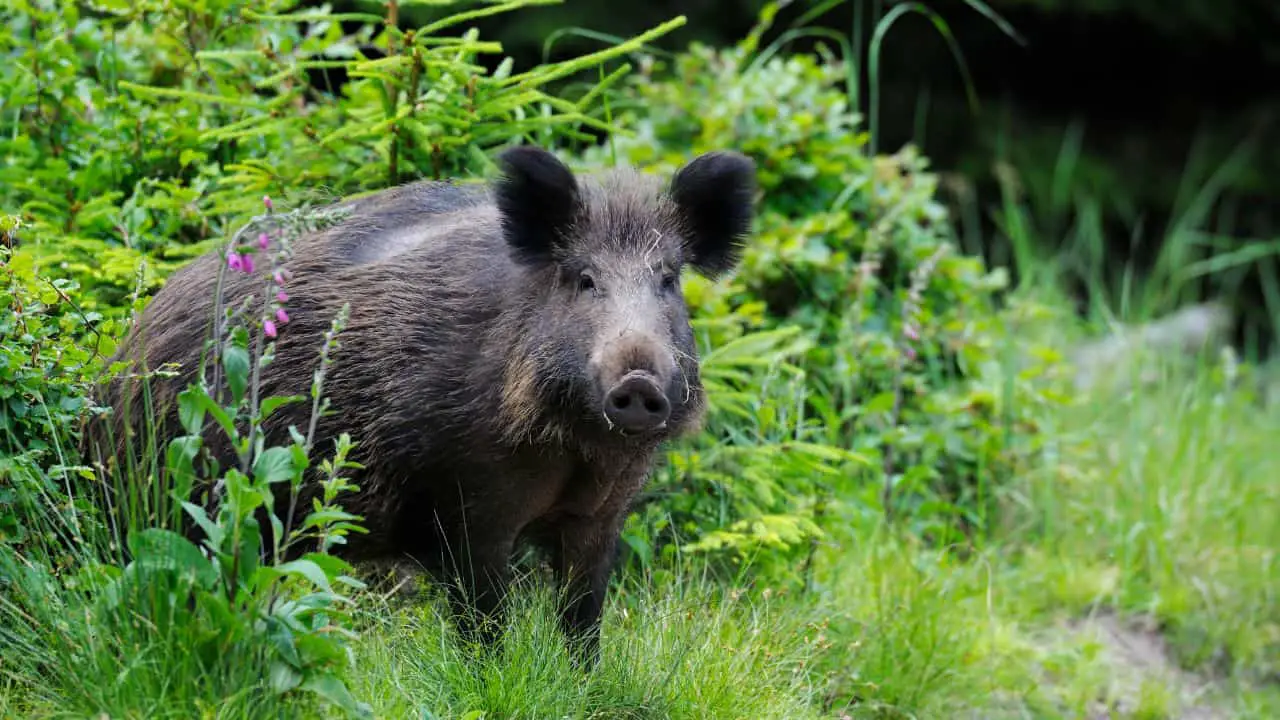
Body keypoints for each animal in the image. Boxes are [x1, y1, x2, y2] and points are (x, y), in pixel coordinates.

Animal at [86, 145, 757, 661]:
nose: (639, 381)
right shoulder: (462, 510)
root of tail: (119, 358)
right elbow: (485, 624)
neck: (574, 452)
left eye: (668, 278)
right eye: (584, 279)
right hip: (167, 495)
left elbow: (582, 619)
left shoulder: (602, 515)